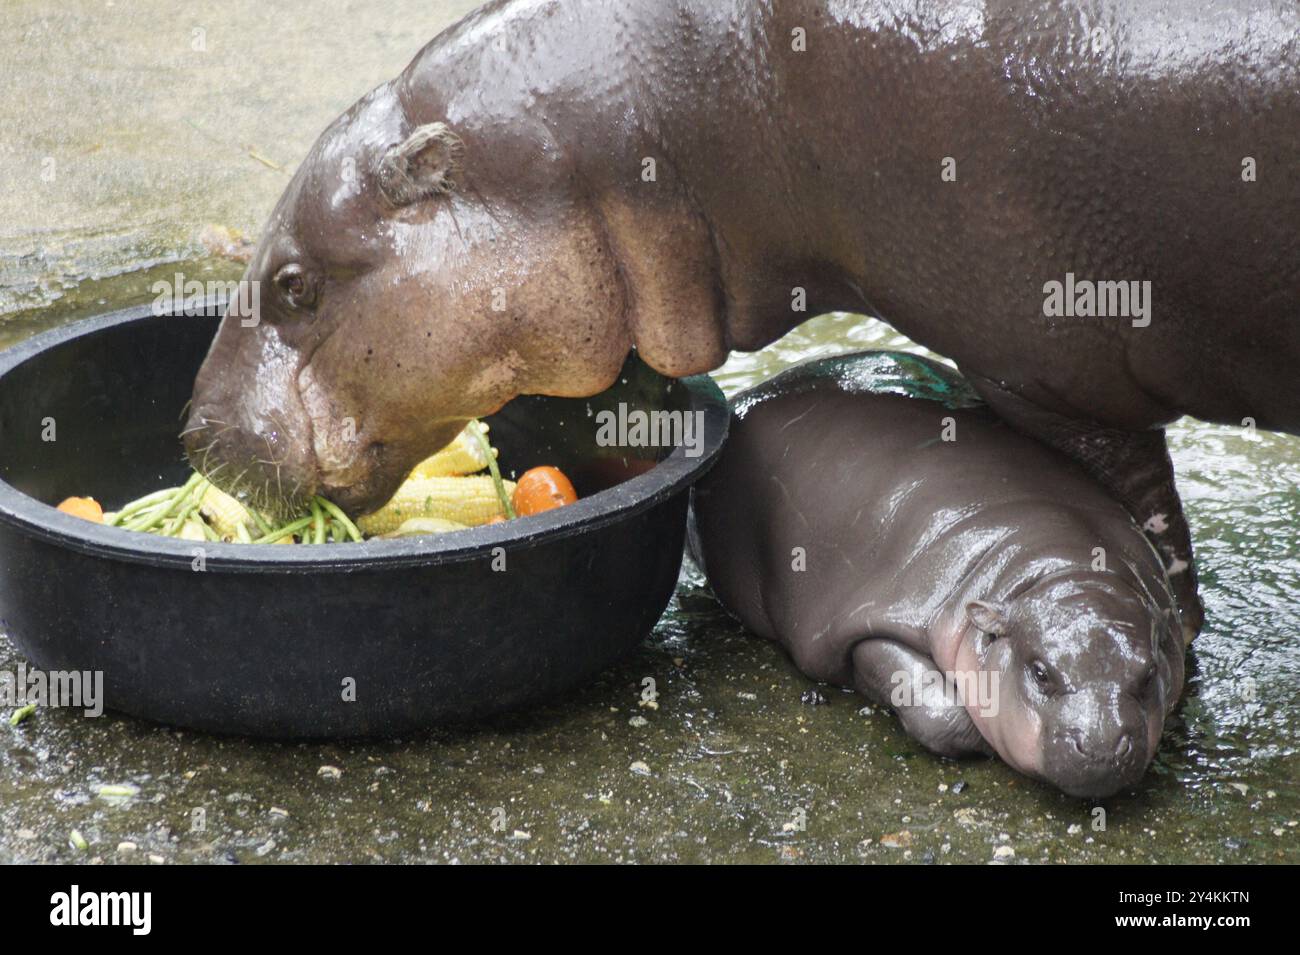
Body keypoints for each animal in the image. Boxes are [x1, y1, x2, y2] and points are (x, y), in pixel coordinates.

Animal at [688, 351, 1187, 798]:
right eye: (1041, 672)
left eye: (1148, 675)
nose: (1102, 746)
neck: (1057, 568)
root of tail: (755, 393)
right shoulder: (880, 619)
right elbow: (934, 706)